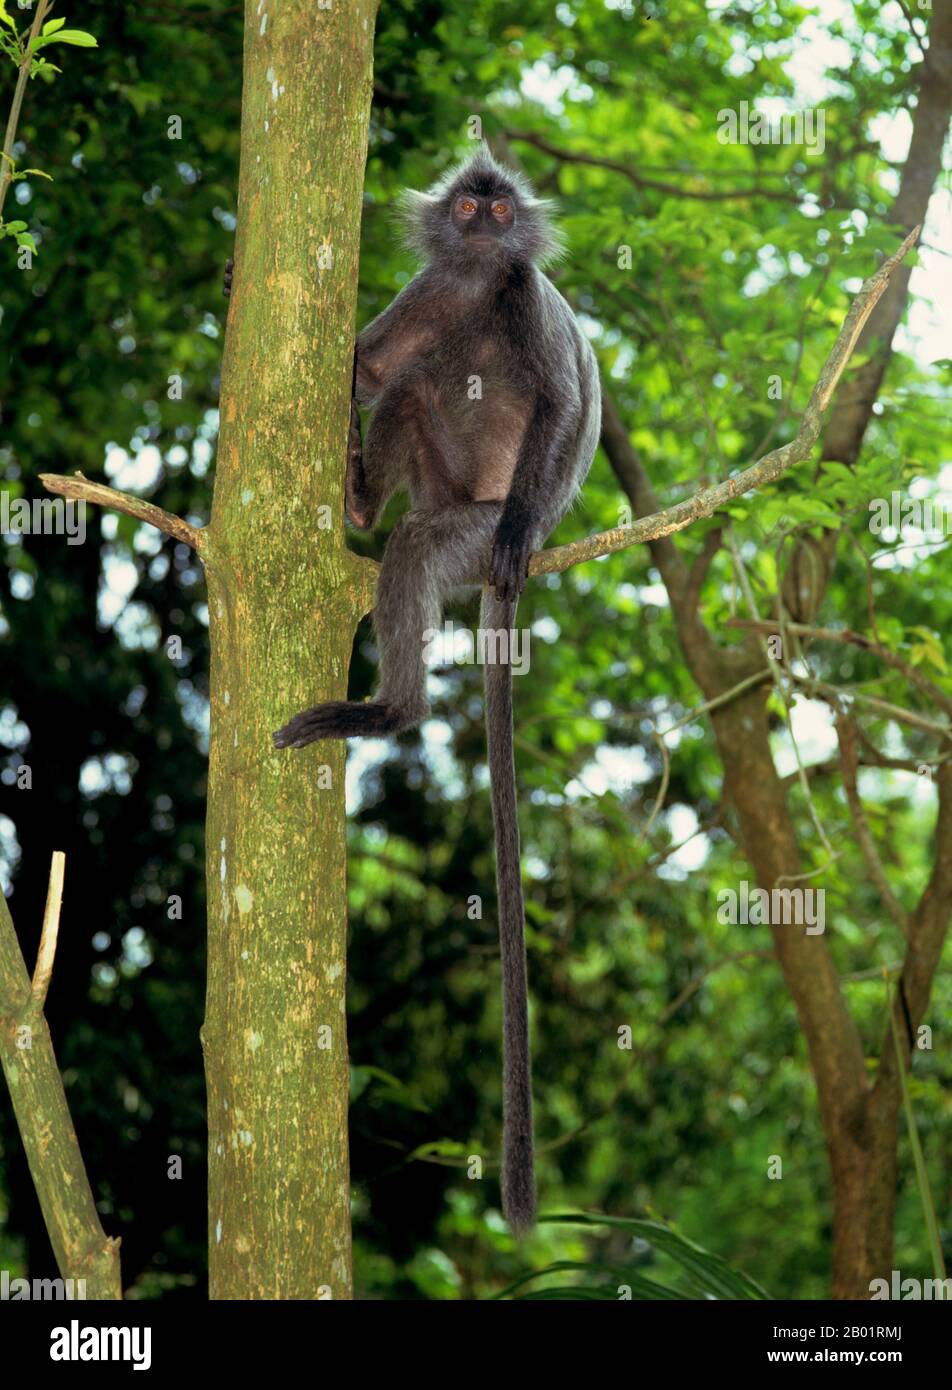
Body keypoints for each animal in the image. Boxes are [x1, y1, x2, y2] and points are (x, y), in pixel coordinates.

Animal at [269, 147, 600, 1234]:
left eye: (502, 208)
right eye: (469, 205)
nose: (487, 220)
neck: (478, 284)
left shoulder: (523, 294)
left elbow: (561, 402)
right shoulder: (437, 288)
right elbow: (371, 370)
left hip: (470, 523)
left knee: (423, 547)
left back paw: (390, 706)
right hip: (444, 480)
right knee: (409, 392)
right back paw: (359, 499)